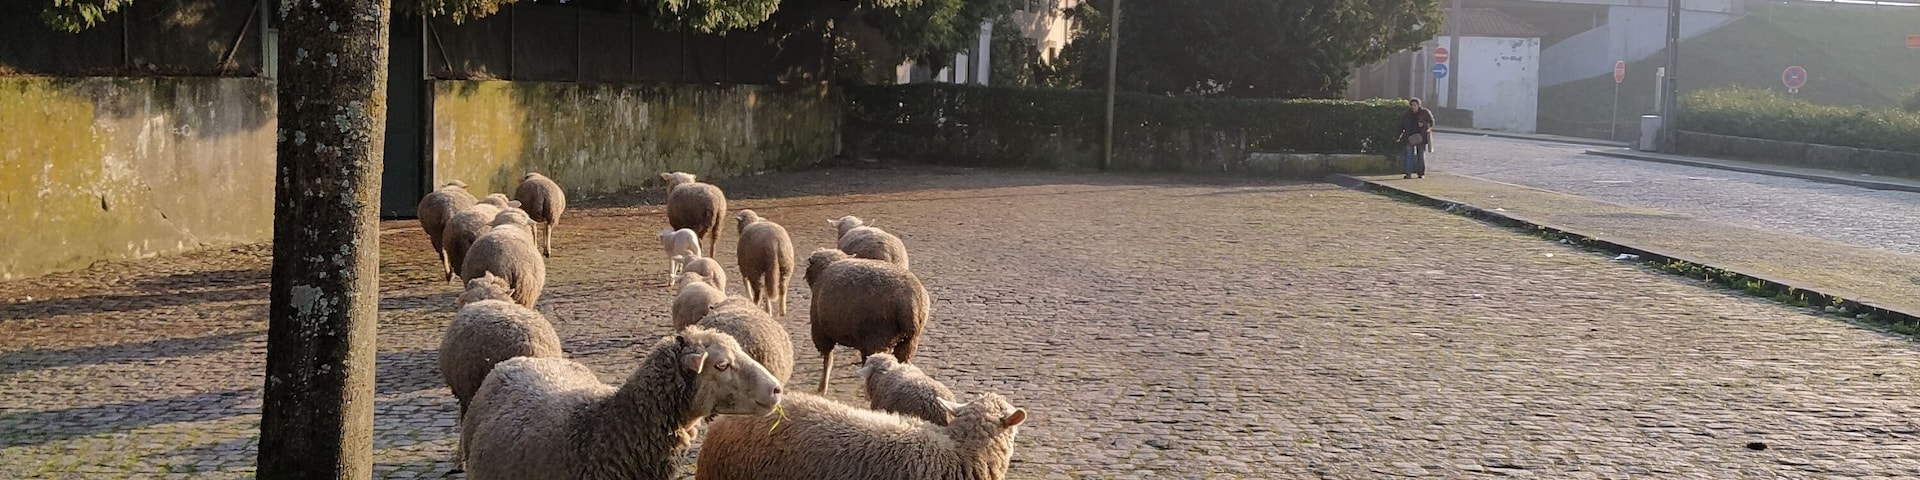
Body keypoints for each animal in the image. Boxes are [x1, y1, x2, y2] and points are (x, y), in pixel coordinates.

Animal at [803, 248, 930, 395]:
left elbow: (827, 360)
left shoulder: (820, 330)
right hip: (909, 341)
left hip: (878, 337)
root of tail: (909, 302)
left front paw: (822, 388)